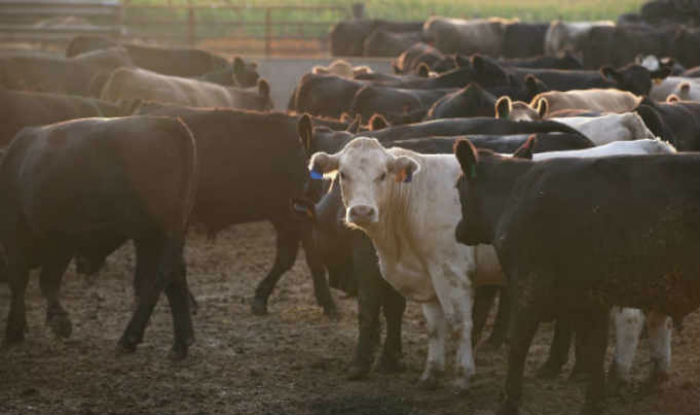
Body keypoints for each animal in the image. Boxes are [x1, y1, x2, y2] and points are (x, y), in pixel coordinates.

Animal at [0, 116, 198, 359]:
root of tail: (169, 123)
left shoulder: (21, 236)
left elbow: (24, 280)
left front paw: (16, 329)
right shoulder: (62, 241)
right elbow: (46, 280)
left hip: (151, 234)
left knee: (157, 277)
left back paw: (130, 338)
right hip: (162, 235)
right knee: (174, 276)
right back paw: (180, 343)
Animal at [453, 140, 699, 413]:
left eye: (458, 186)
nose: (458, 231)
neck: (516, 194)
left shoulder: (530, 285)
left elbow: (518, 343)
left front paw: (509, 401)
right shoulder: (592, 295)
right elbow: (595, 347)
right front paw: (593, 401)